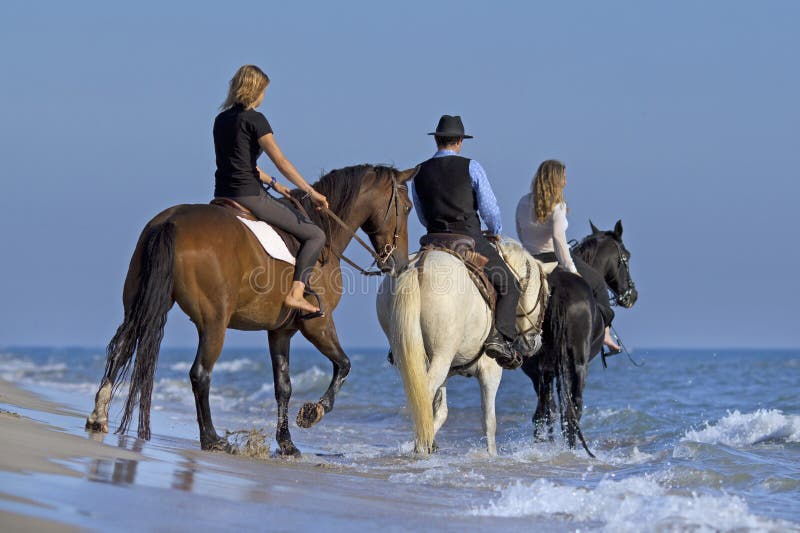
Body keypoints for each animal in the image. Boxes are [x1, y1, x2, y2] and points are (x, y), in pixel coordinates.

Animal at [85, 164, 417, 456]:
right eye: (408, 206)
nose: (398, 263)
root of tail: (172, 221)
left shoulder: (281, 331)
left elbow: (284, 386)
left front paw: (287, 444)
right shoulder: (317, 324)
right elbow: (344, 365)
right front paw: (313, 413)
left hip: (139, 305)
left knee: (122, 349)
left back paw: (99, 416)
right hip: (214, 323)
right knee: (200, 374)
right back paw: (212, 439)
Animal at [377, 238, 548, 455]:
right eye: (546, 295)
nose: (534, 342)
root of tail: (419, 265)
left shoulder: (444, 371)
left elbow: (441, 412)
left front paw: (432, 441)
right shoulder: (490, 371)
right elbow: (489, 421)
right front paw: (492, 455)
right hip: (441, 357)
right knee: (424, 395)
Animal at [521, 220, 638, 455]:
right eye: (626, 257)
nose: (632, 295)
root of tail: (558, 291)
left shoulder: (551, 369)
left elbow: (552, 409)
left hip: (540, 369)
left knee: (544, 412)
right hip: (578, 364)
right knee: (573, 409)